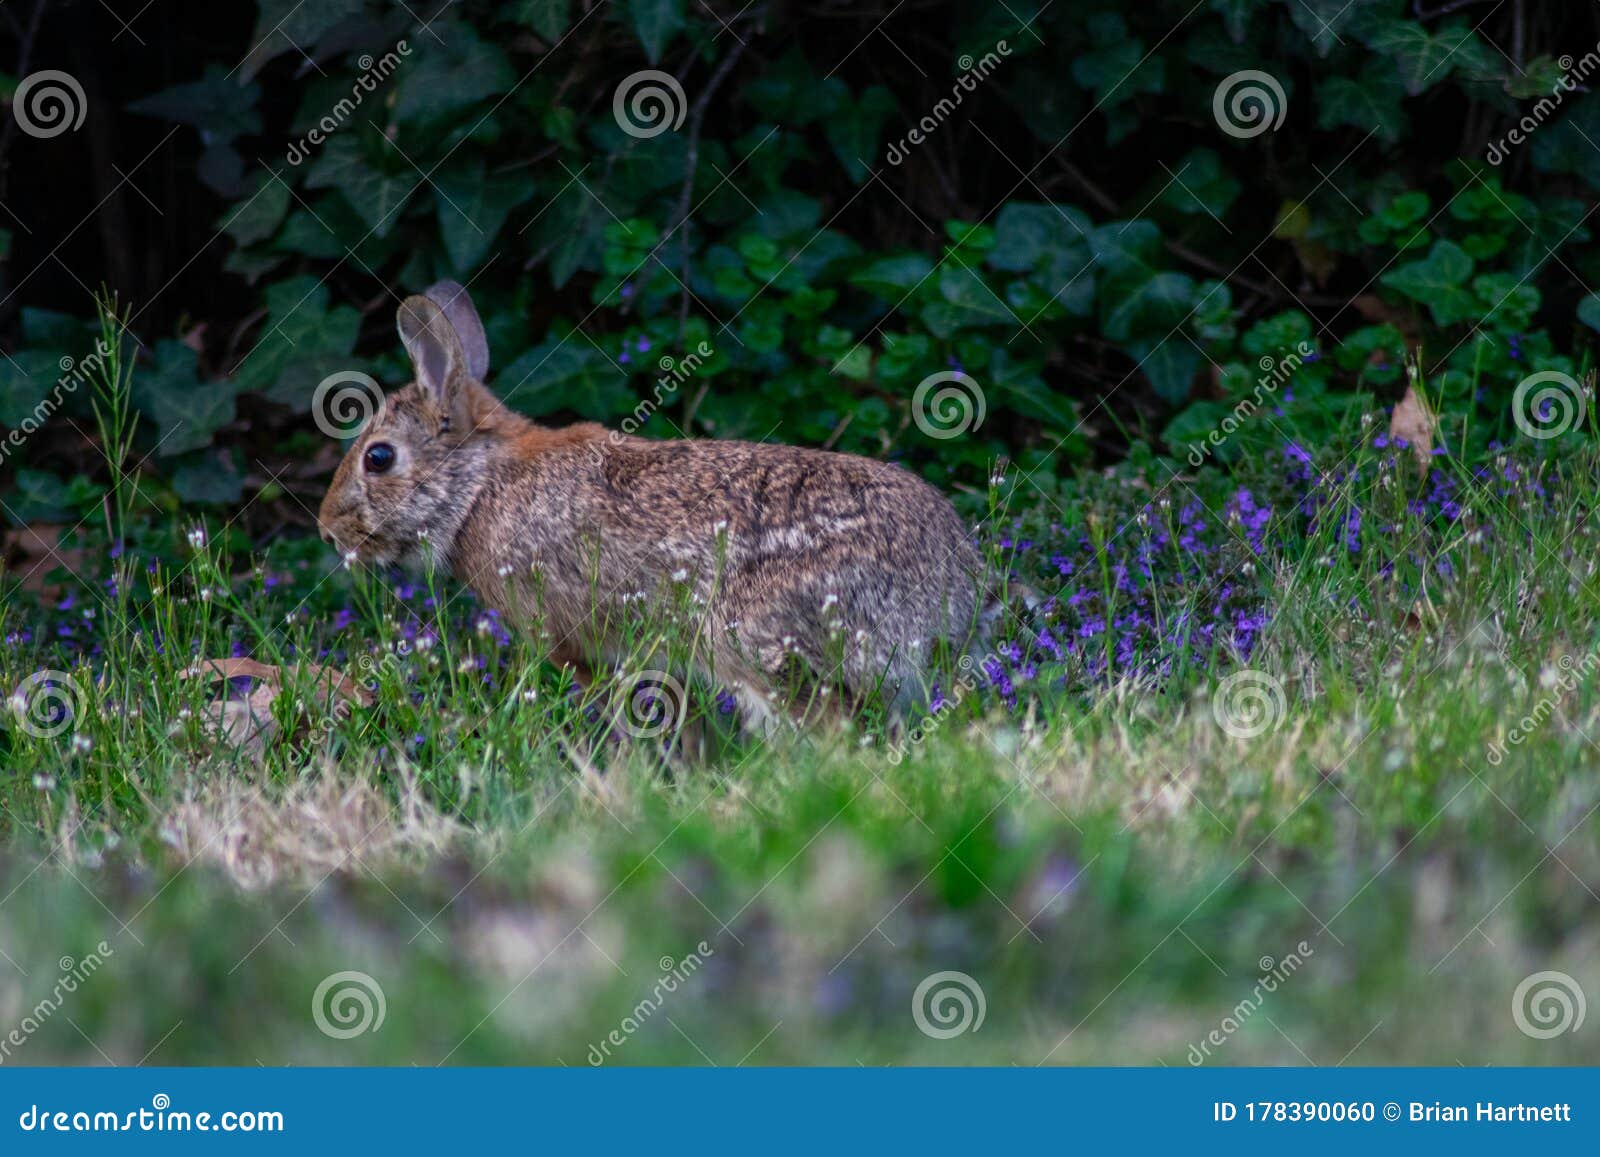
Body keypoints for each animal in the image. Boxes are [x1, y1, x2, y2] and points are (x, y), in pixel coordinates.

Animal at [318, 281, 995, 733]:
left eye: (379, 458)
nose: (328, 530)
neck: (479, 485)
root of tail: (947, 593)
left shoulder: (568, 636)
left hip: (755, 637)